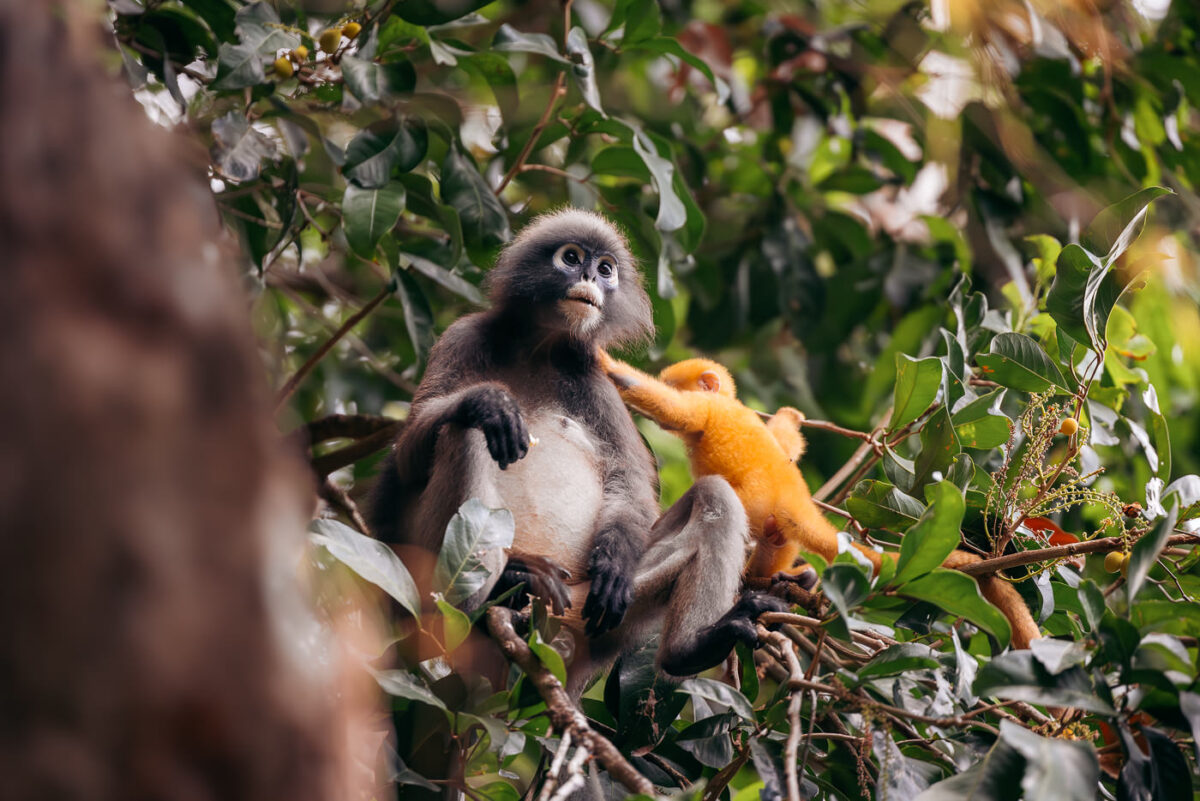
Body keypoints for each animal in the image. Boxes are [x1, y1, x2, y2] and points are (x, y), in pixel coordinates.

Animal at [369, 209, 788, 698]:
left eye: (606, 269)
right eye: (571, 258)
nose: (590, 276)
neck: (537, 348)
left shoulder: (593, 379)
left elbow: (628, 479)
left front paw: (614, 562)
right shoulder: (463, 336)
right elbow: (409, 454)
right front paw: (487, 401)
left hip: (593, 614)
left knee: (715, 497)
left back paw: (694, 647)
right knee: (465, 433)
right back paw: (492, 591)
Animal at [597, 353, 1043, 650]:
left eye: (675, 382)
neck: (728, 403)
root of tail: (798, 502)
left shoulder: (706, 407)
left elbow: (673, 409)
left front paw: (606, 363)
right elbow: (785, 442)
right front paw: (791, 418)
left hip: (755, 499)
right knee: (777, 538)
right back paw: (792, 580)